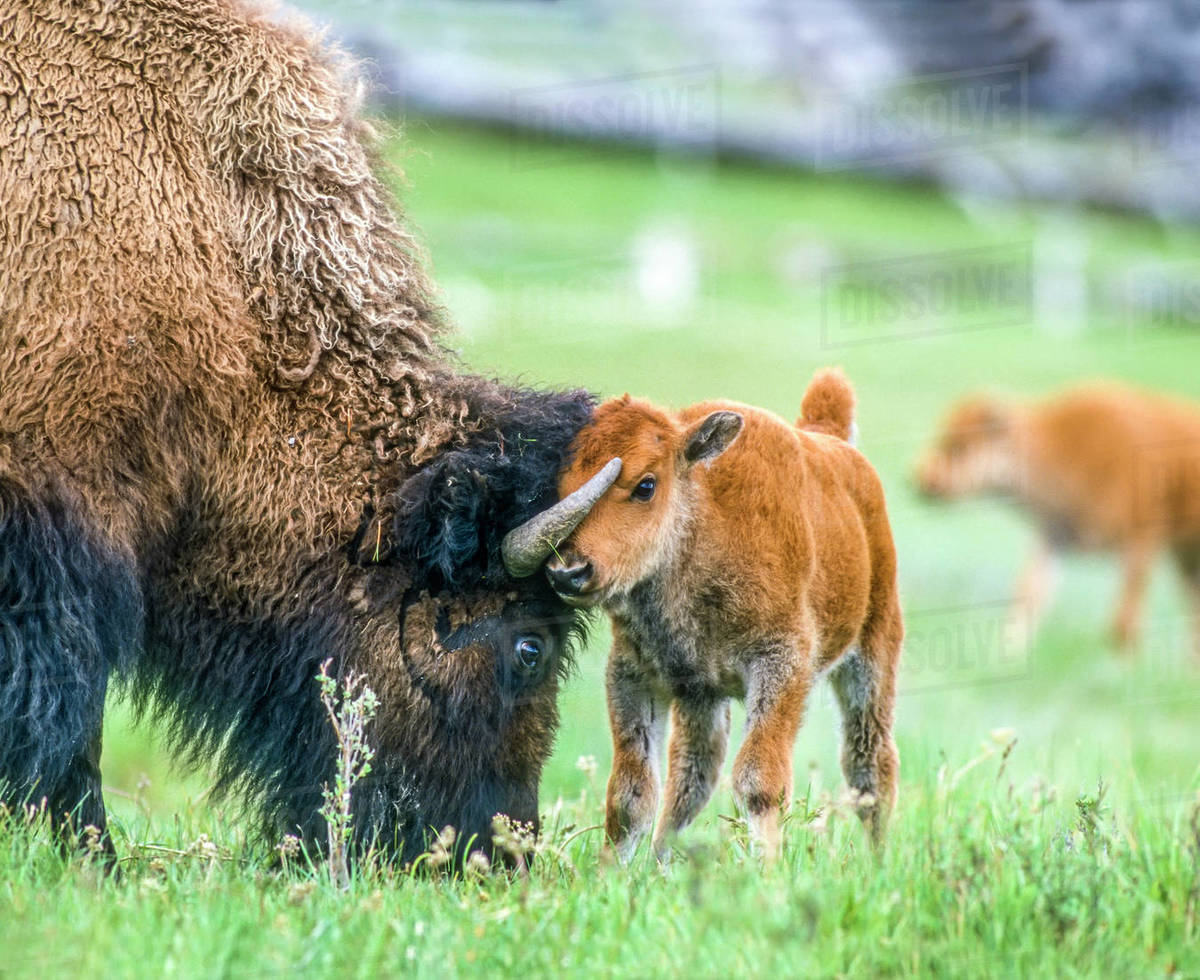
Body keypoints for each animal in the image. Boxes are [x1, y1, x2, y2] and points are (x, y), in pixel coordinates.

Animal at [505, 370, 903, 860]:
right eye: (560, 486)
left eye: (646, 485)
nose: (568, 571)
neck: (701, 528)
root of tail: (833, 443)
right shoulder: (637, 674)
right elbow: (632, 792)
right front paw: (610, 870)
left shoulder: (781, 665)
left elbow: (758, 779)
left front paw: (768, 868)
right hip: (702, 698)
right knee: (692, 777)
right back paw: (661, 861)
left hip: (872, 654)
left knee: (869, 763)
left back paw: (878, 859)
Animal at [915, 382, 1200, 654]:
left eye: (958, 447)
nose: (921, 481)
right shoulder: (1054, 538)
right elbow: (1029, 593)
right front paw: (1009, 654)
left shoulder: (1140, 542)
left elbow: (1124, 621)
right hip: (1187, 558)